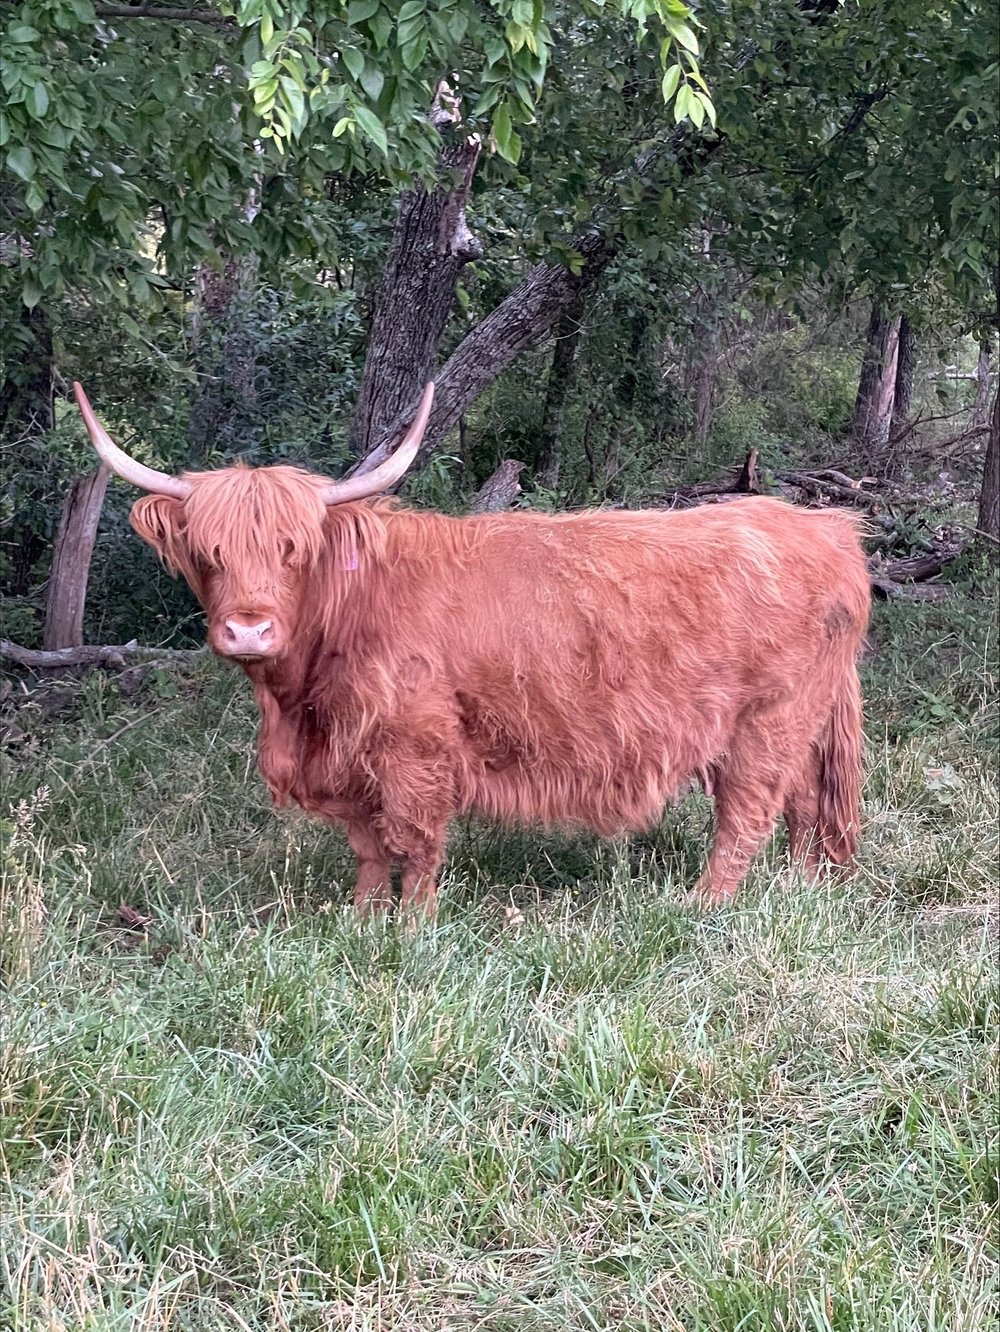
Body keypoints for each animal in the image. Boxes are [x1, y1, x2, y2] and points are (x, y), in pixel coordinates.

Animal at [74, 381, 870, 915]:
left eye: (293, 549)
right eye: (208, 553)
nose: (247, 629)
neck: (300, 705)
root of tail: (826, 529)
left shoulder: (416, 746)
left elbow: (415, 842)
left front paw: (412, 927)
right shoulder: (348, 757)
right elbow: (369, 846)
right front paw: (362, 919)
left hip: (767, 720)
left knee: (749, 814)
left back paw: (703, 905)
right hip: (797, 723)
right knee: (803, 806)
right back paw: (798, 889)